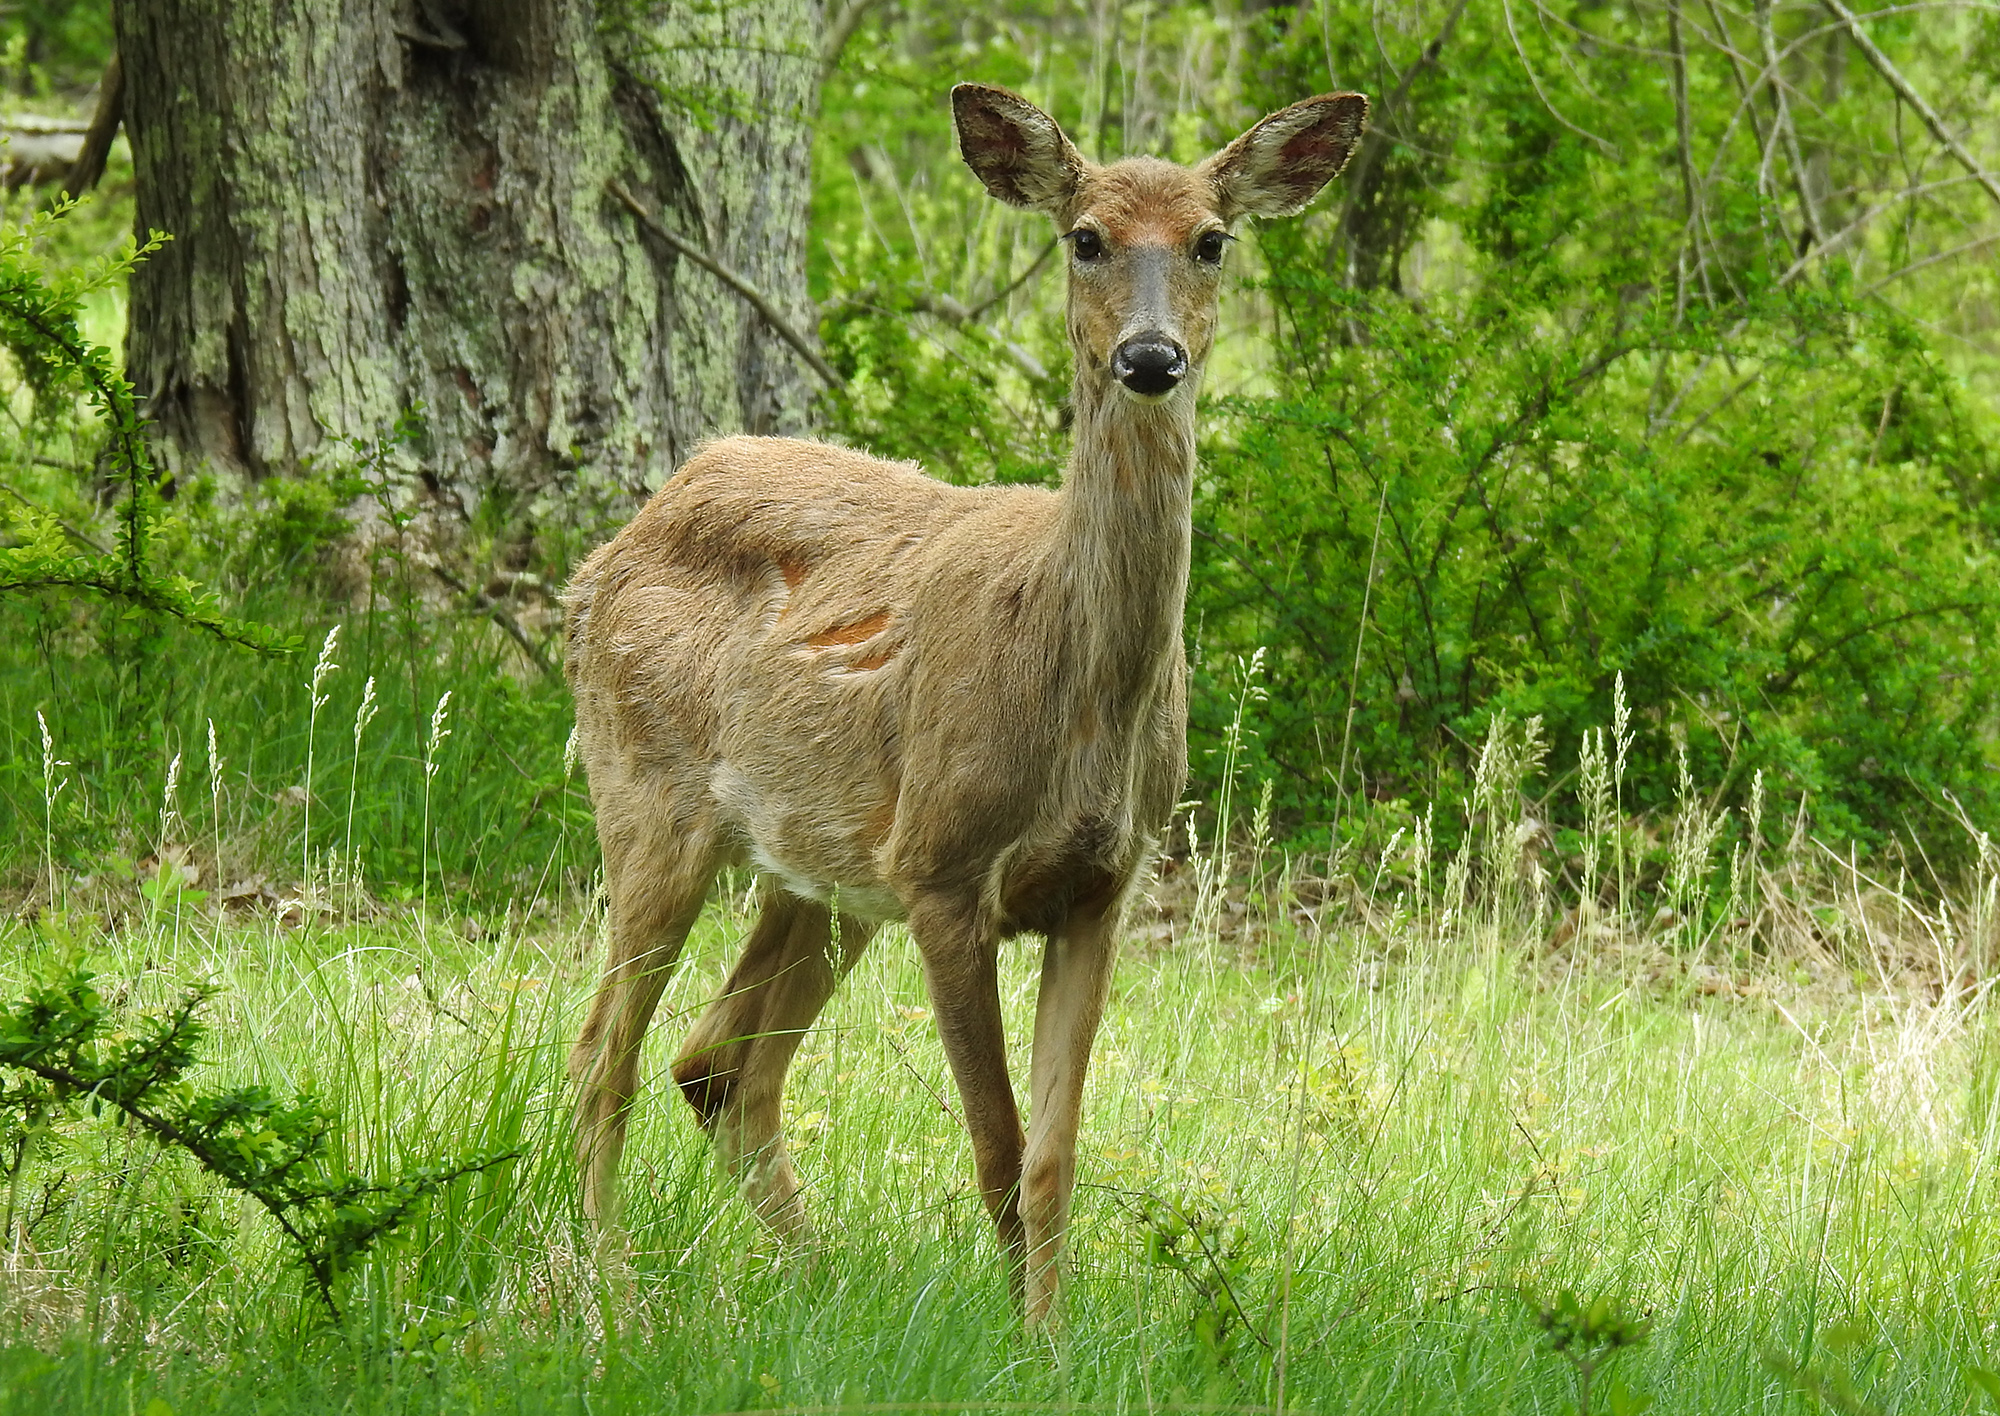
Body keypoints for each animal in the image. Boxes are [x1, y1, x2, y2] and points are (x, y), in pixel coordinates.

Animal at [564, 82, 1368, 1329]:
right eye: (1082, 236)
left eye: (1211, 239)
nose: (1149, 356)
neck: (1075, 695)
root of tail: (620, 539)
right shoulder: (943, 871)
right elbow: (993, 1150)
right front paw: (1014, 1341)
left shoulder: (1103, 886)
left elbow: (1052, 1158)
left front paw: (1053, 1338)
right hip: (649, 795)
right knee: (605, 1050)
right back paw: (607, 1287)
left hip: (827, 869)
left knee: (718, 1063)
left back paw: (822, 1282)